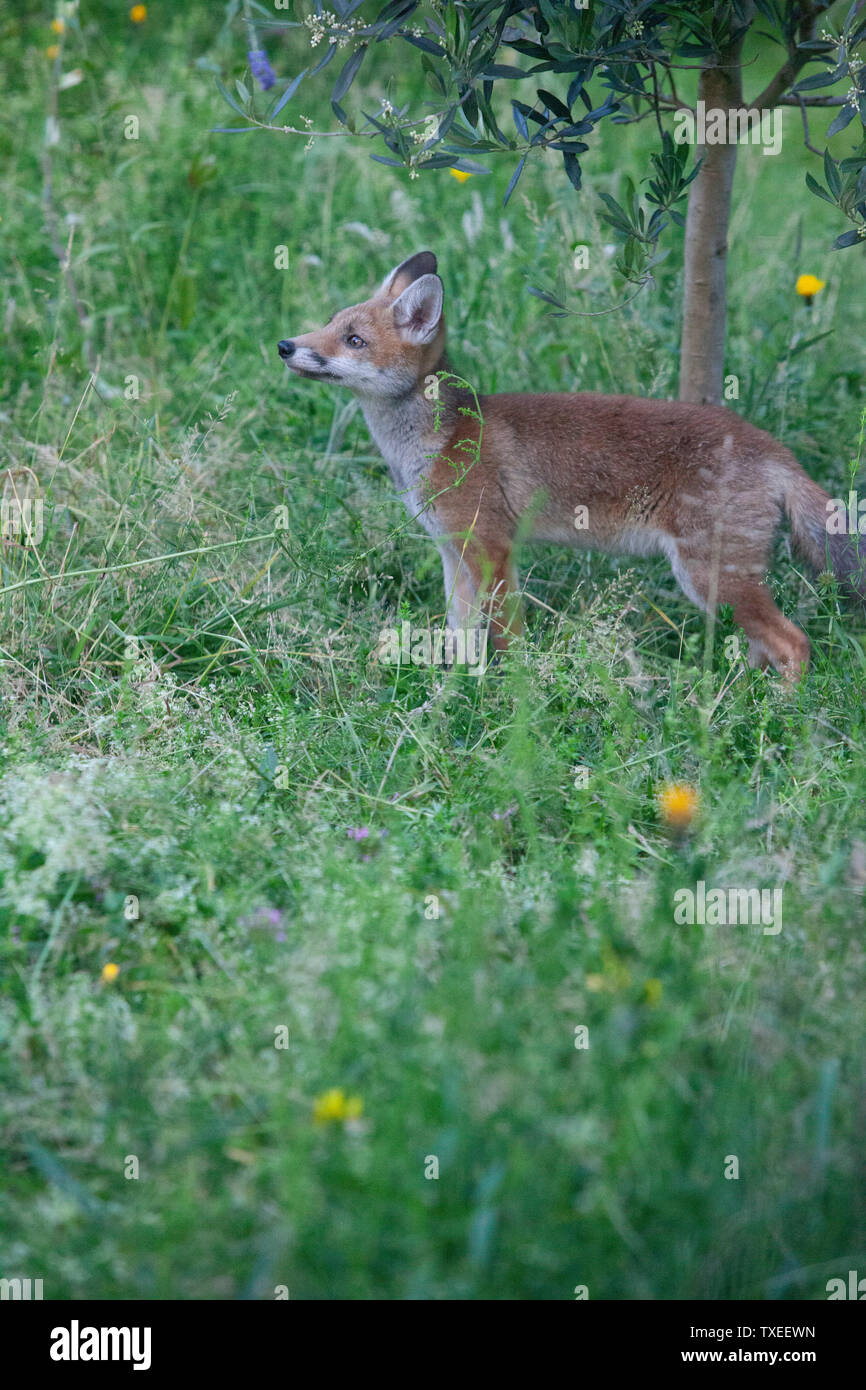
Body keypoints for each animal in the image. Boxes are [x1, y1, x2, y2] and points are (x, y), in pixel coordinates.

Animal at [278, 250, 864, 679]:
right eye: (328, 324)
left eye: (354, 340)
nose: (285, 345)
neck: (439, 443)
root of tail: (772, 447)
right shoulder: (453, 553)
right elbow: (460, 637)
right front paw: (453, 696)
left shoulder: (492, 549)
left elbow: (507, 639)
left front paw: (507, 703)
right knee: (766, 649)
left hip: (710, 577)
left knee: (793, 643)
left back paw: (776, 724)